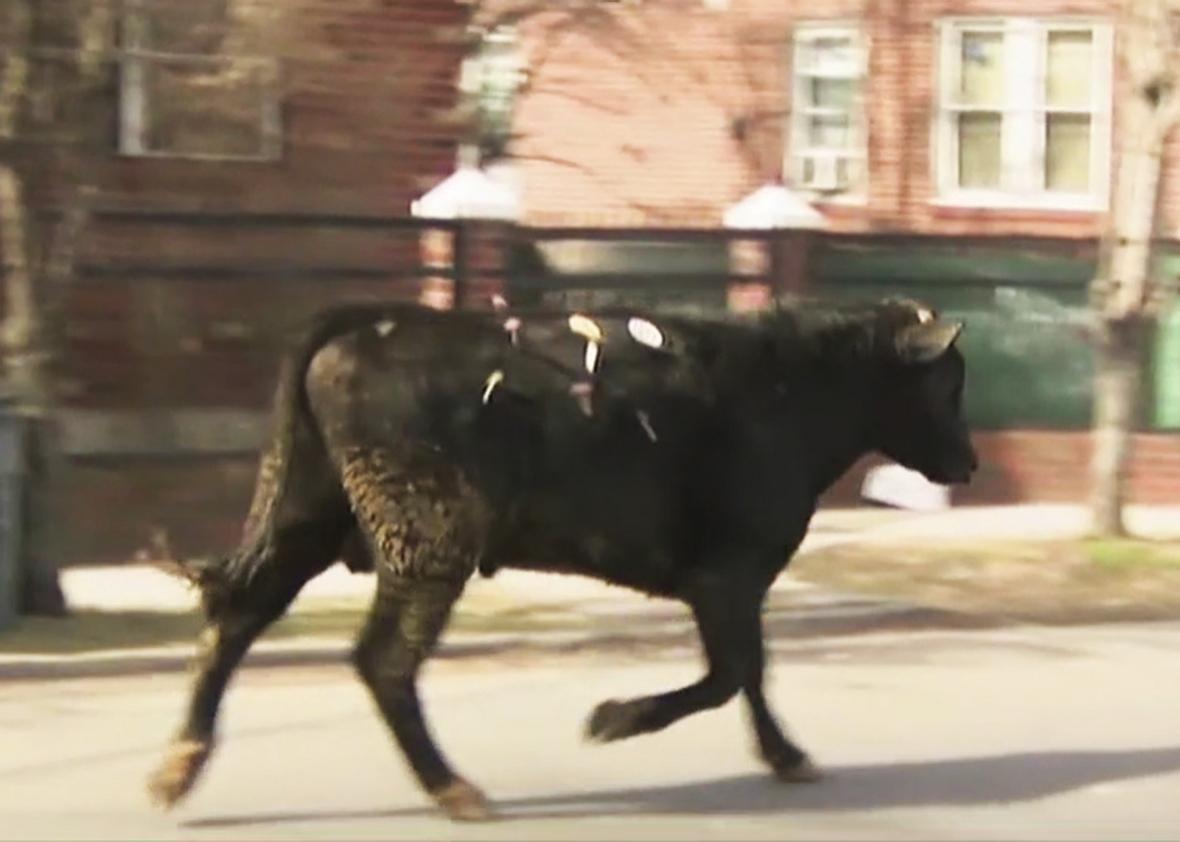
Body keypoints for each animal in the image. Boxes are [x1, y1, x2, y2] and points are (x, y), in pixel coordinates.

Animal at [146, 296, 976, 822]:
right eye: (947, 380)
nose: (968, 463)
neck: (793, 388)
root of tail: (369, 322)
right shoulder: (728, 575)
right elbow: (732, 673)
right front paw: (614, 719)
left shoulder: (729, 584)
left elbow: (748, 675)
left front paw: (785, 755)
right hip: (426, 543)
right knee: (383, 659)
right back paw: (454, 789)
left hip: (308, 517)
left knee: (239, 616)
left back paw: (178, 767)